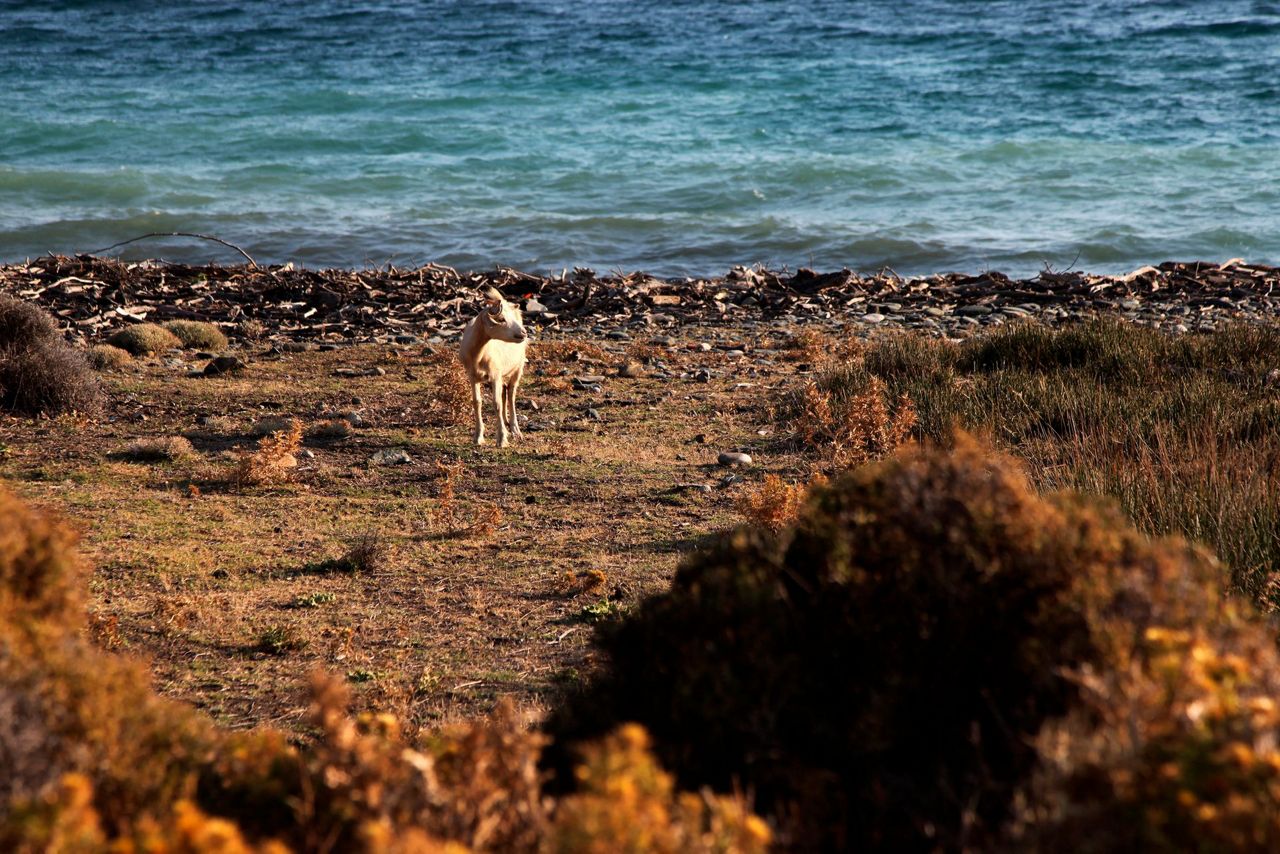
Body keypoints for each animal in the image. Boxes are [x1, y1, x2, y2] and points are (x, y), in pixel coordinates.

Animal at [458, 286, 528, 447]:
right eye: (501, 319)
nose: (523, 333)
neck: (478, 354)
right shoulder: (473, 376)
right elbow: (477, 402)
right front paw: (478, 437)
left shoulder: (495, 375)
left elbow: (496, 404)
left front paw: (501, 439)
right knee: (504, 392)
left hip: (518, 368)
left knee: (511, 394)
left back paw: (515, 430)